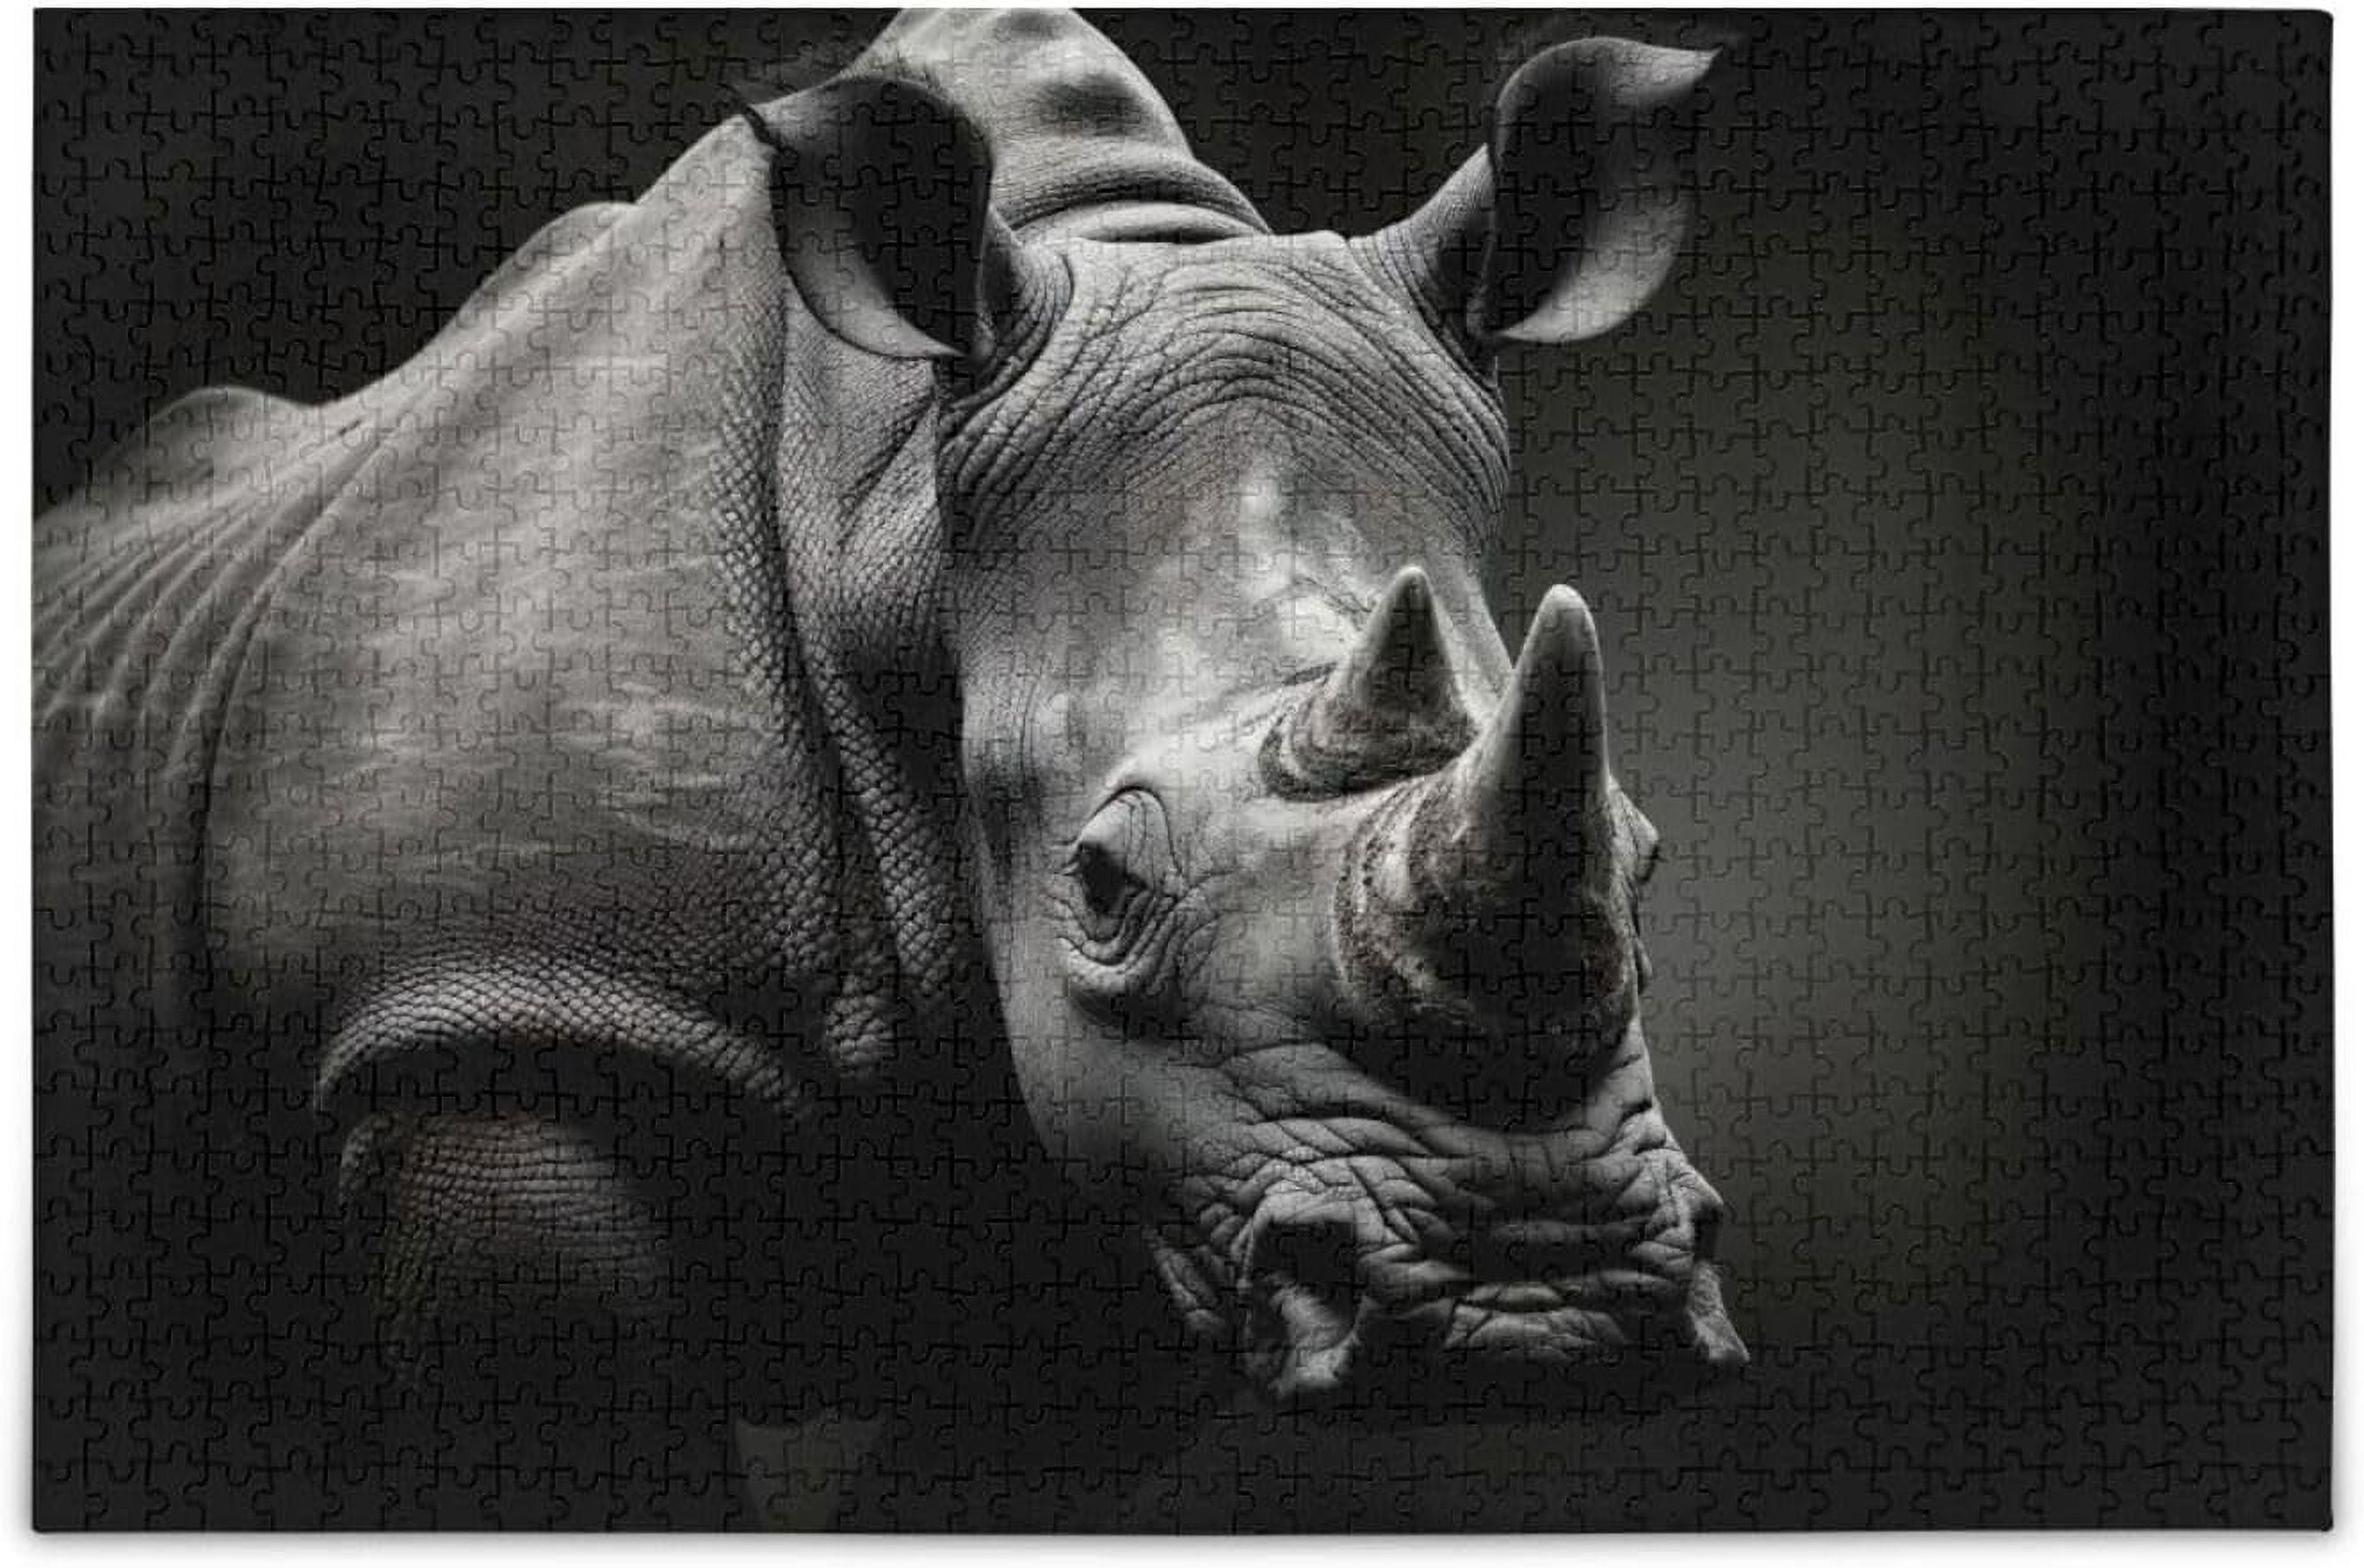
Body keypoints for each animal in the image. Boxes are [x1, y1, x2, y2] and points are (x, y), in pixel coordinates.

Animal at [34, 8, 1741, 1528]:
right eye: (1101, 884)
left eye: (1643, 854)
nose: (1537, 1291)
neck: (897, 523)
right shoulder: (486, 1023)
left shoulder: (1171, 1154)